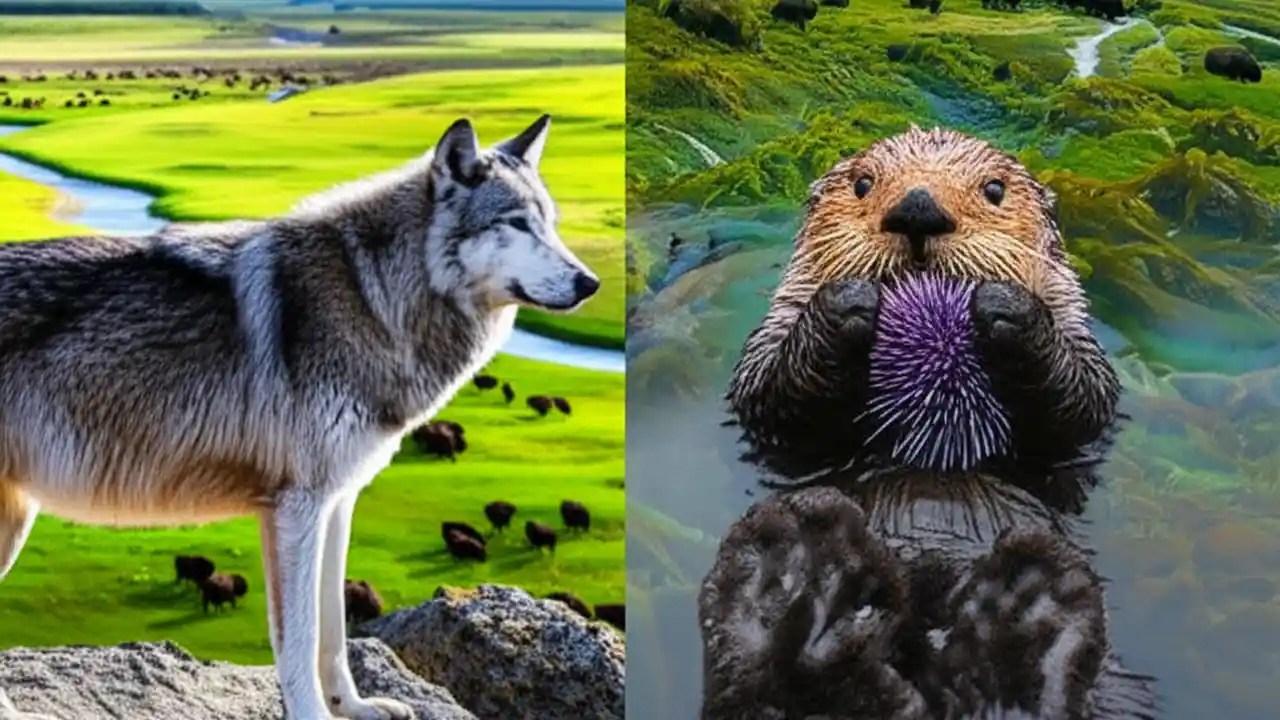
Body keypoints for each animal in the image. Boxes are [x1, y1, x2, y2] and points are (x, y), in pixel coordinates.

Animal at [0, 114, 598, 720]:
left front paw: (353, 706)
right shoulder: (297, 506)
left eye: (551, 223)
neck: (374, 297)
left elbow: (332, 631)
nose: (590, 283)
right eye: (516, 223)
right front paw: (313, 712)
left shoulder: (336, 502)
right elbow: (300, 639)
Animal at [704, 128, 1154, 719]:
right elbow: (772, 403)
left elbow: (1080, 407)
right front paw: (849, 298)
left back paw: (1025, 620)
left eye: (994, 189)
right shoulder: (767, 359)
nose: (917, 209)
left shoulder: (1086, 367)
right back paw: (801, 581)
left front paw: (1007, 304)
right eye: (862, 183)